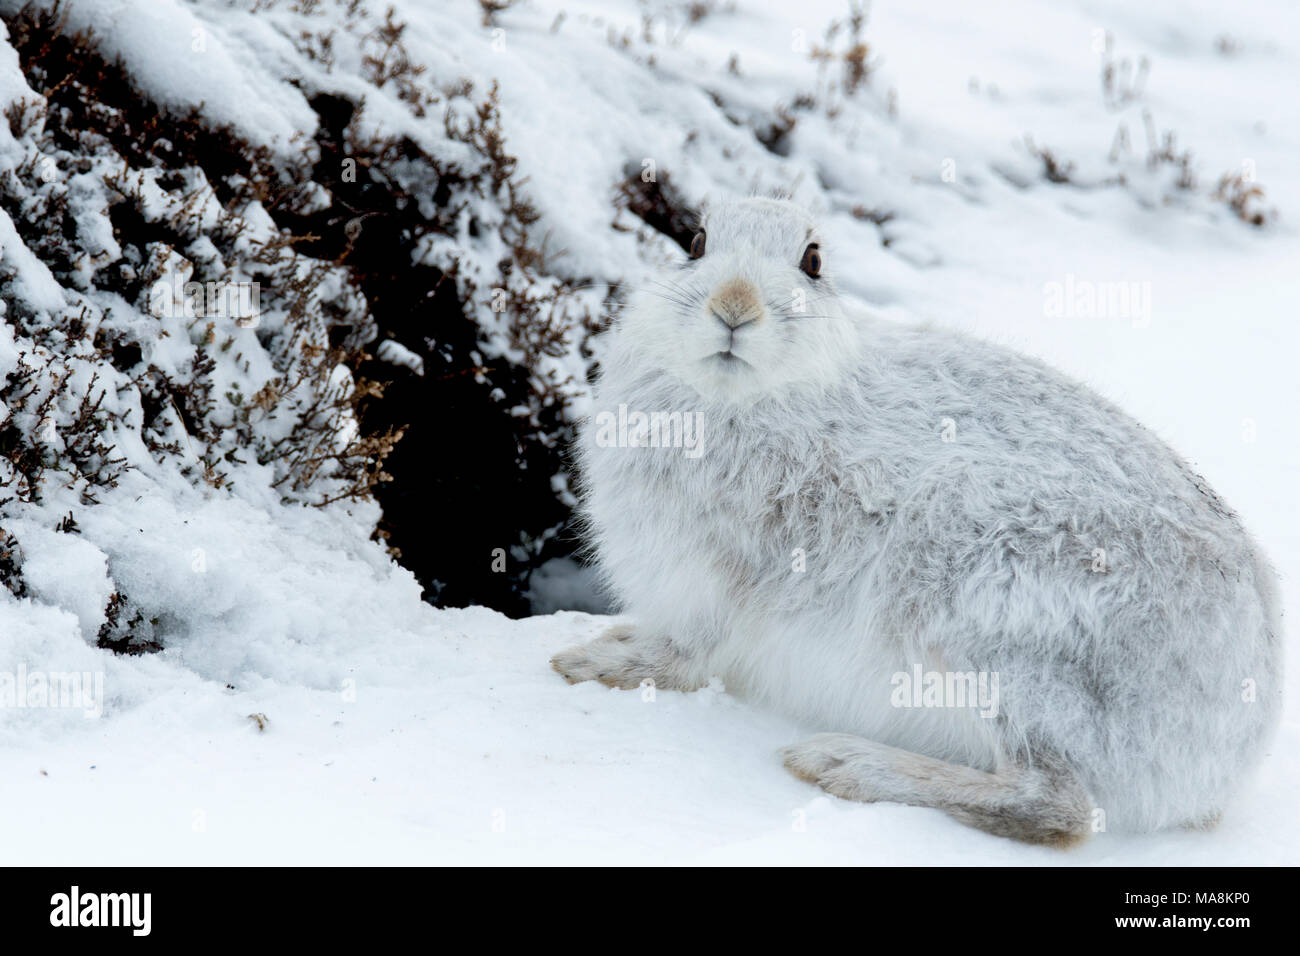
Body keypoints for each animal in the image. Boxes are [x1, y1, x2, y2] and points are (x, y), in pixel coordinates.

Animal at [552, 196, 1283, 846]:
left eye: (813, 260)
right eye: (697, 243)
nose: (734, 307)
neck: (760, 397)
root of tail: (1234, 744)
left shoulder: (724, 579)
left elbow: (689, 649)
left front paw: (594, 661)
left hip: (993, 620)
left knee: (1055, 804)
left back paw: (842, 763)